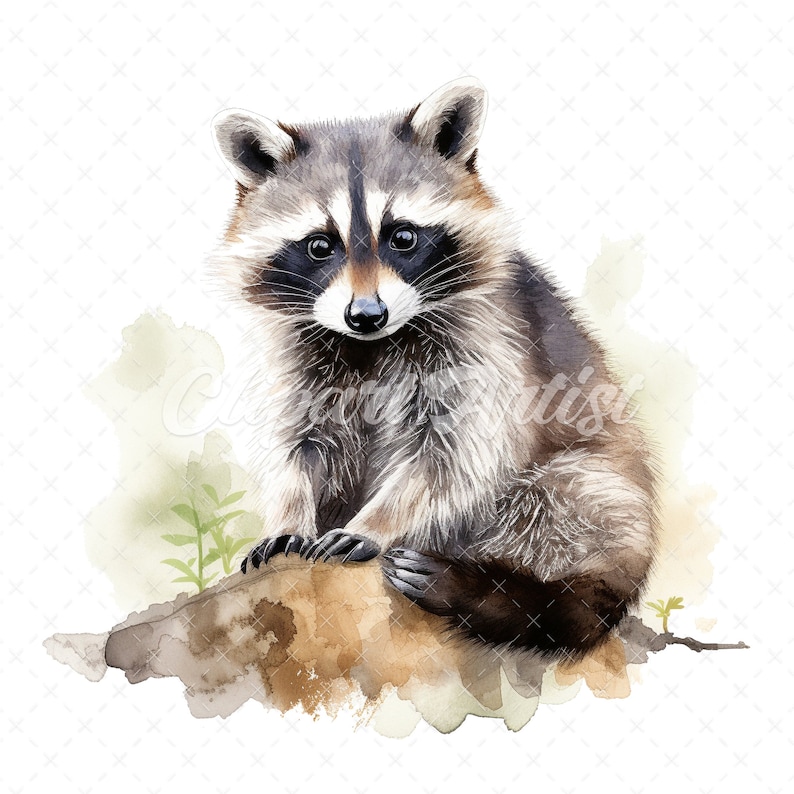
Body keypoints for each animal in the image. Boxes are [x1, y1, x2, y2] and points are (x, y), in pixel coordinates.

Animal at [211, 78, 657, 658]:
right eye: (319, 245)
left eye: (402, 236)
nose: (366, 314)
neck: (374, 344)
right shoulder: (298, 356)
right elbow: (303, 444)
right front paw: (291, 513)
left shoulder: (488, 344)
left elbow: (453, 454)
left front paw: (378, 521)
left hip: (602, 492)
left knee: (562, 500)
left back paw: (503, 593)